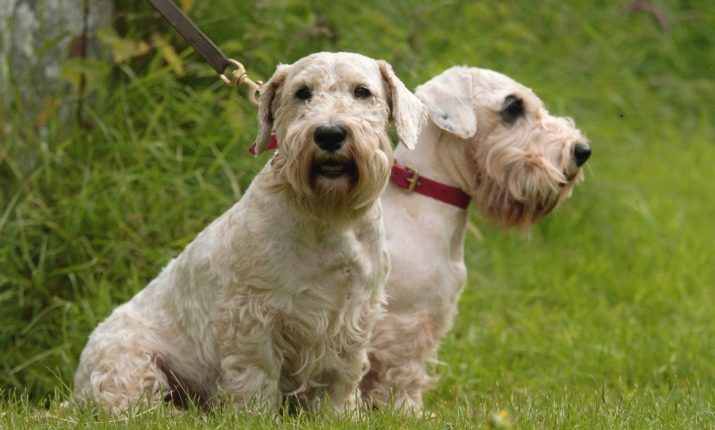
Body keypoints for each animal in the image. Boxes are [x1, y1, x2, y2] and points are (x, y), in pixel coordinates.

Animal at [74, 52, 426, 414]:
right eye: (302, 92)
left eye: (362, 92)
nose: (329, 134)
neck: (328, 217)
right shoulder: (253, 314)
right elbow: (257, 371)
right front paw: (255, 414)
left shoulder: (354, 313)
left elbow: (342, 374)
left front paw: (339, 413)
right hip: (128, 361)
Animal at [364, 66, 592, 410]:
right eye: (513, 107)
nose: (581, 151)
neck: (422, 195)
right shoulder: (406, 320)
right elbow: (402, 374)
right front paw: (406, 411)